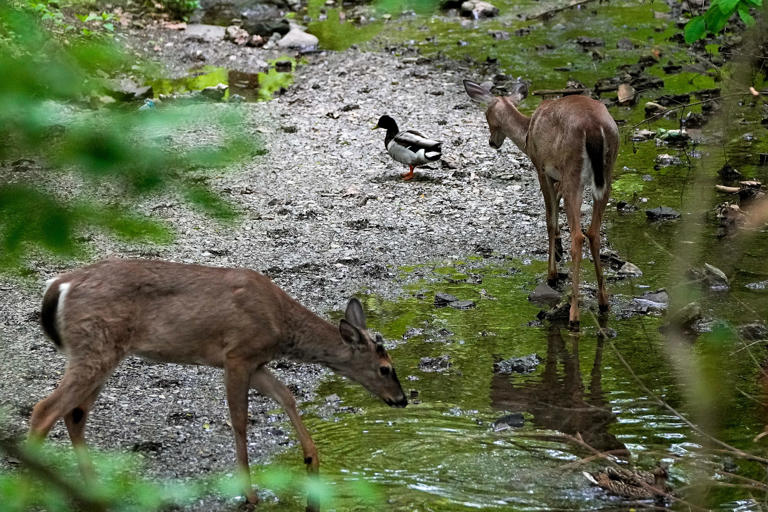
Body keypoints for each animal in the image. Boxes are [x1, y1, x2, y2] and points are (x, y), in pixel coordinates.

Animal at [29, 258, 408, 511]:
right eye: (386, 369)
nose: (403, 400)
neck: (280, 323)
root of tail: (58, 285)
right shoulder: (237, 354)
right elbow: (239, 420)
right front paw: (250, 494)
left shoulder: (256, 362)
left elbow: (287, 396)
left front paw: (312, 460)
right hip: (96, 346)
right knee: (44, 409)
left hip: (103, 351)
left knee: (74, 415)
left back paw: (92, 492)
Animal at [464, 79, 619, 330]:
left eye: (487, 115)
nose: (492, 142)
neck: (528, 131)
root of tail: (595, 128)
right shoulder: (557, 177)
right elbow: (555, 211)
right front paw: (557, 253)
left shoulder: (541, 167)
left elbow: (549, 218)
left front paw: (552, 273)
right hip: (607, 172)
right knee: (593, 232)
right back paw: (604, 302)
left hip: (572, 170)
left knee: (578, 235)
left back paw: (574, 314)